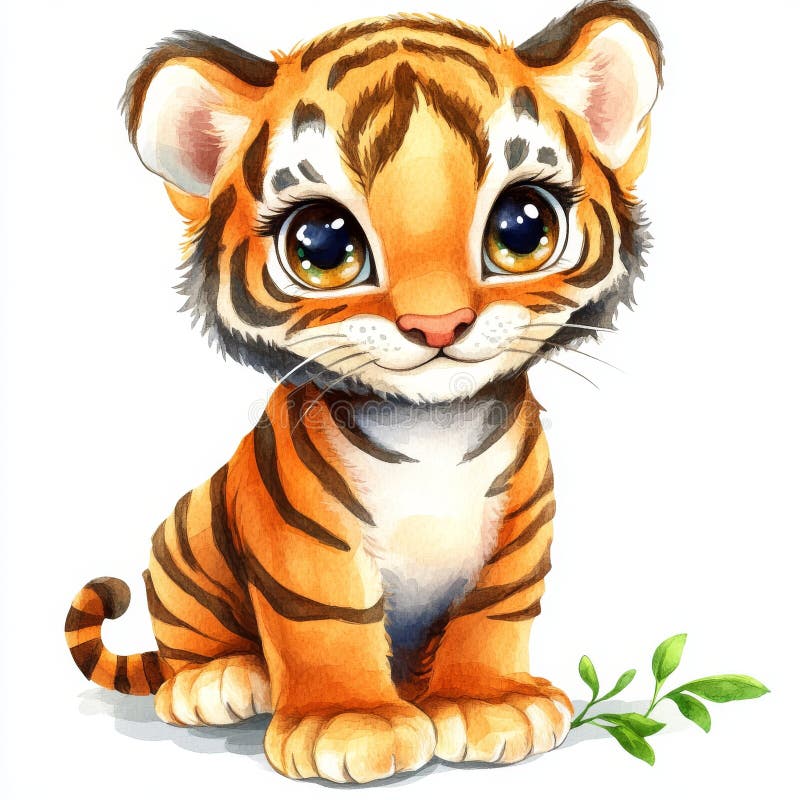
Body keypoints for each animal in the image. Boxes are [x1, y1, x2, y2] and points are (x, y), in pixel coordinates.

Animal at [65, 0, 662, 784]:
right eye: (322, 243)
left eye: (522, 226)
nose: (437, 323)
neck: (433, 426)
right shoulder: (302, 536)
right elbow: (328, 620)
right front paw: (350, 723)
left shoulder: (521, 524)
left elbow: (493, 611)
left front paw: (492, 703)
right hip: (183, 540)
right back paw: (219, 681)